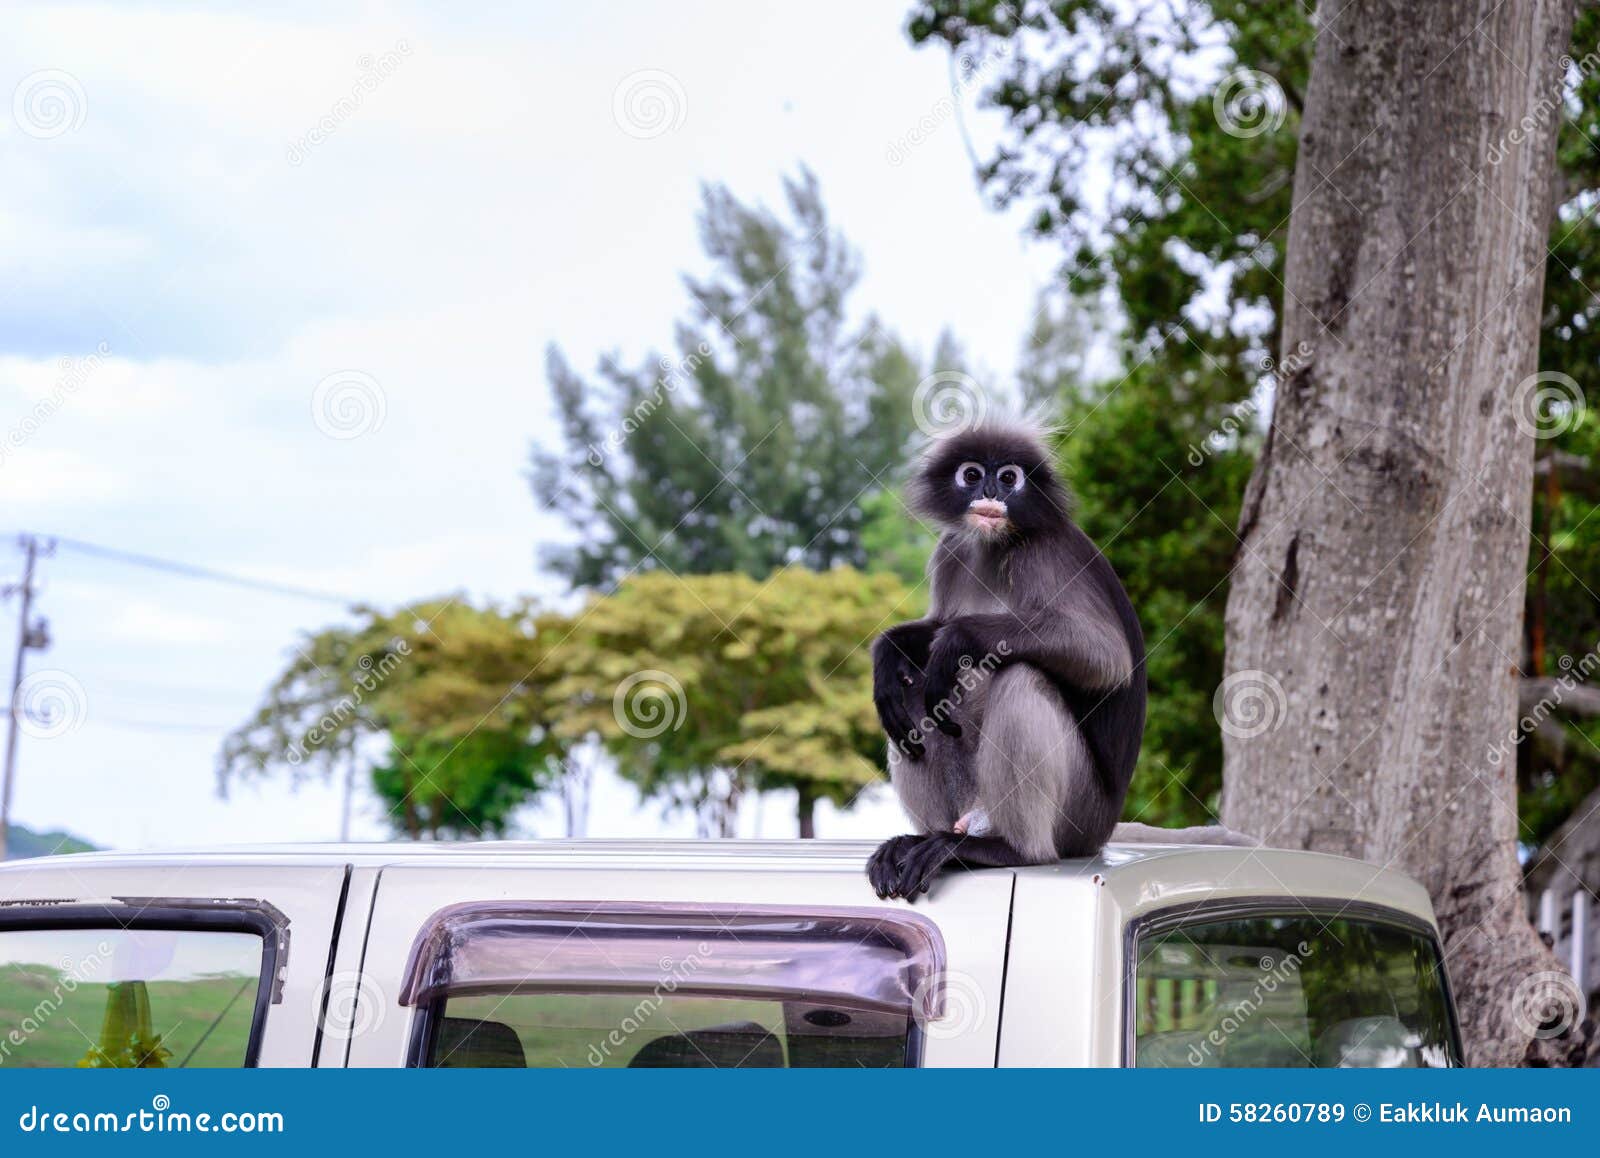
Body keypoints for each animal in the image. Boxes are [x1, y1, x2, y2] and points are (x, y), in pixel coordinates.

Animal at [866, 417, 1152, 901]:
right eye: (971, 474)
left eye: (1008, 478)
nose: (991, 493)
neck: (993, 544)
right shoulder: (952, 550)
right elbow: (931, 629)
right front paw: (889, 650)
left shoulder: (1044, 554)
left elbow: (1106, 655)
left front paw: (959, 638)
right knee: (914, 692)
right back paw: (926, 837)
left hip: (1079, 817)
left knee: (1020, 676)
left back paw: (1009, 850)